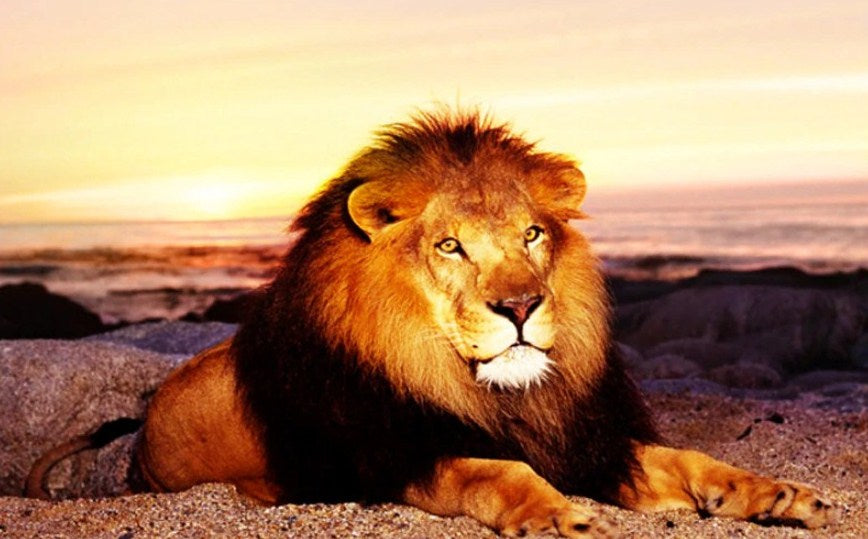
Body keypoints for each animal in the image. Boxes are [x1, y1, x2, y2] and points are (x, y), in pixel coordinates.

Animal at [28, 110, 836, 536]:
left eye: (532, 235)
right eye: (450, 246)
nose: (521, 307)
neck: (496, 393)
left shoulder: (587, 439)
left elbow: (693, 460)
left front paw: (780, 494)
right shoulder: (398, 456)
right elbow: (495, 469)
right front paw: (564, 517)